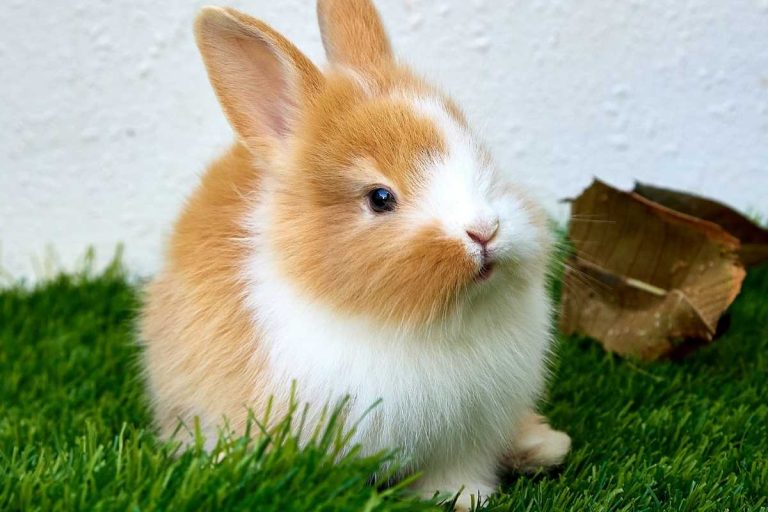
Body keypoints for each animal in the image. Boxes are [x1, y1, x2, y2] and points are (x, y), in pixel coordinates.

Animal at [140, 0, 571, 508]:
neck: (430, 323)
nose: (484, 231)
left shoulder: (467, 435)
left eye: (481, 157)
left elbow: (457, 469)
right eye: (380, 198)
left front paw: (463, 498)